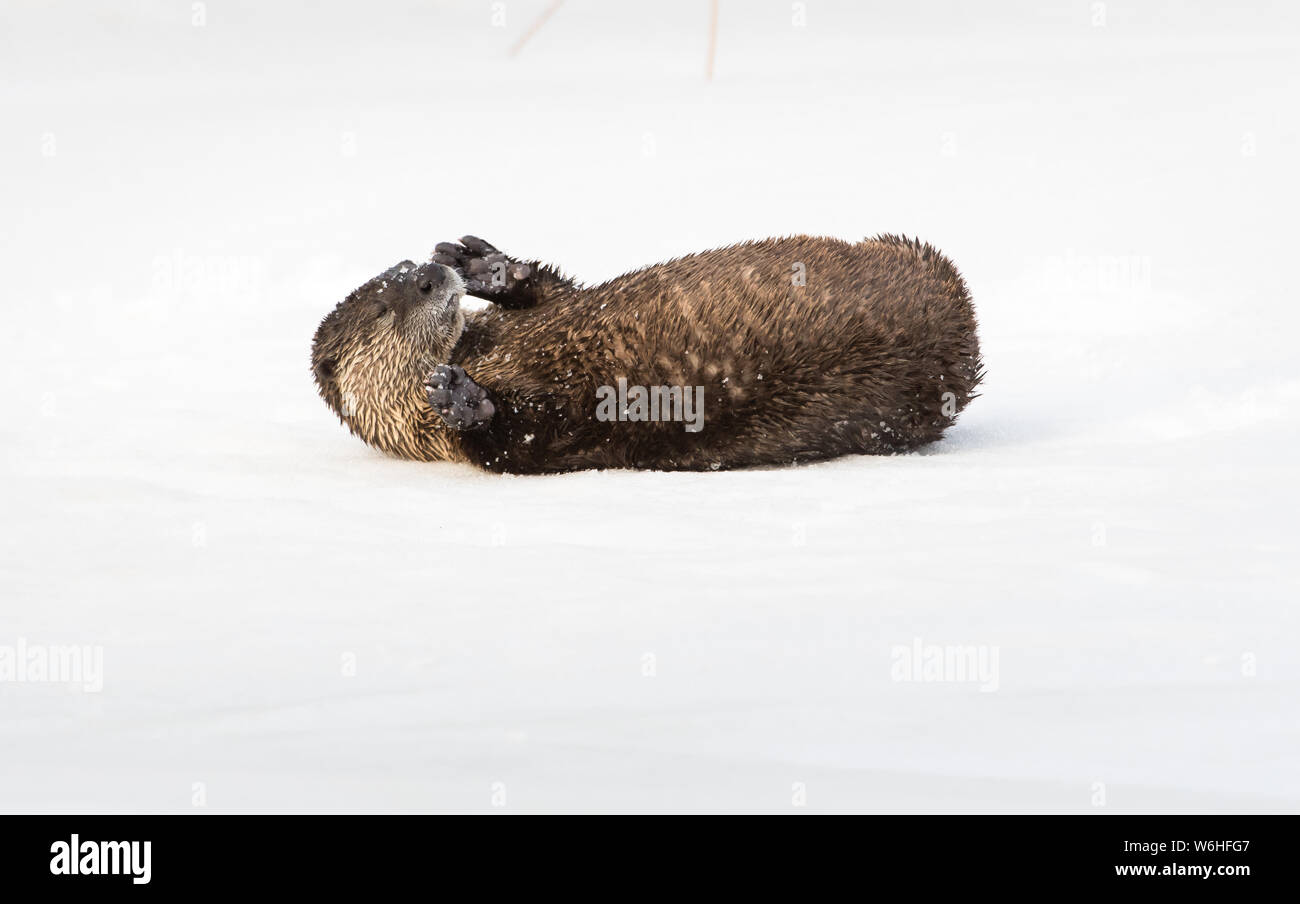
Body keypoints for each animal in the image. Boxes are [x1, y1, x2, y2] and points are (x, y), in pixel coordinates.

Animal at [311, 235, 982, 474]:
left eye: (402, 268)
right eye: (382, 309)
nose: (428, 276)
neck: (489, 353)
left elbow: (556, 292)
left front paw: (486, 264)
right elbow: (528, 440)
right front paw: (462, 398)